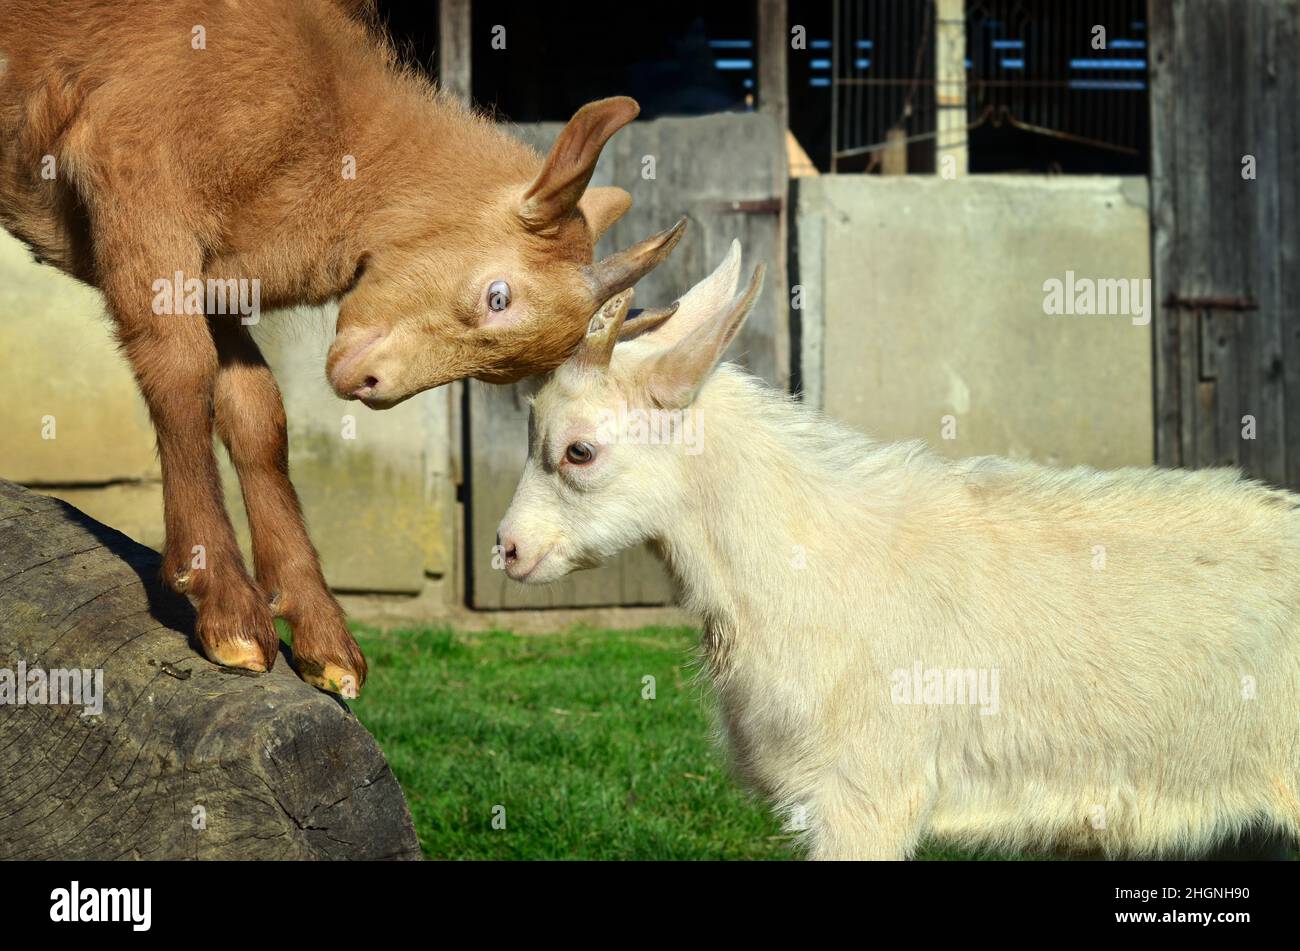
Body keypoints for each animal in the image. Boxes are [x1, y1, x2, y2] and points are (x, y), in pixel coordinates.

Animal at [0, 0, 682, 695]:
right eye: (499, 296)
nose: (369, 386)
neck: (318, 109)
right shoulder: (132, 173)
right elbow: (182, 373)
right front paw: (222, 598)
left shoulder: (221, 275)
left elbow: (257, 414)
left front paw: (319, 630)